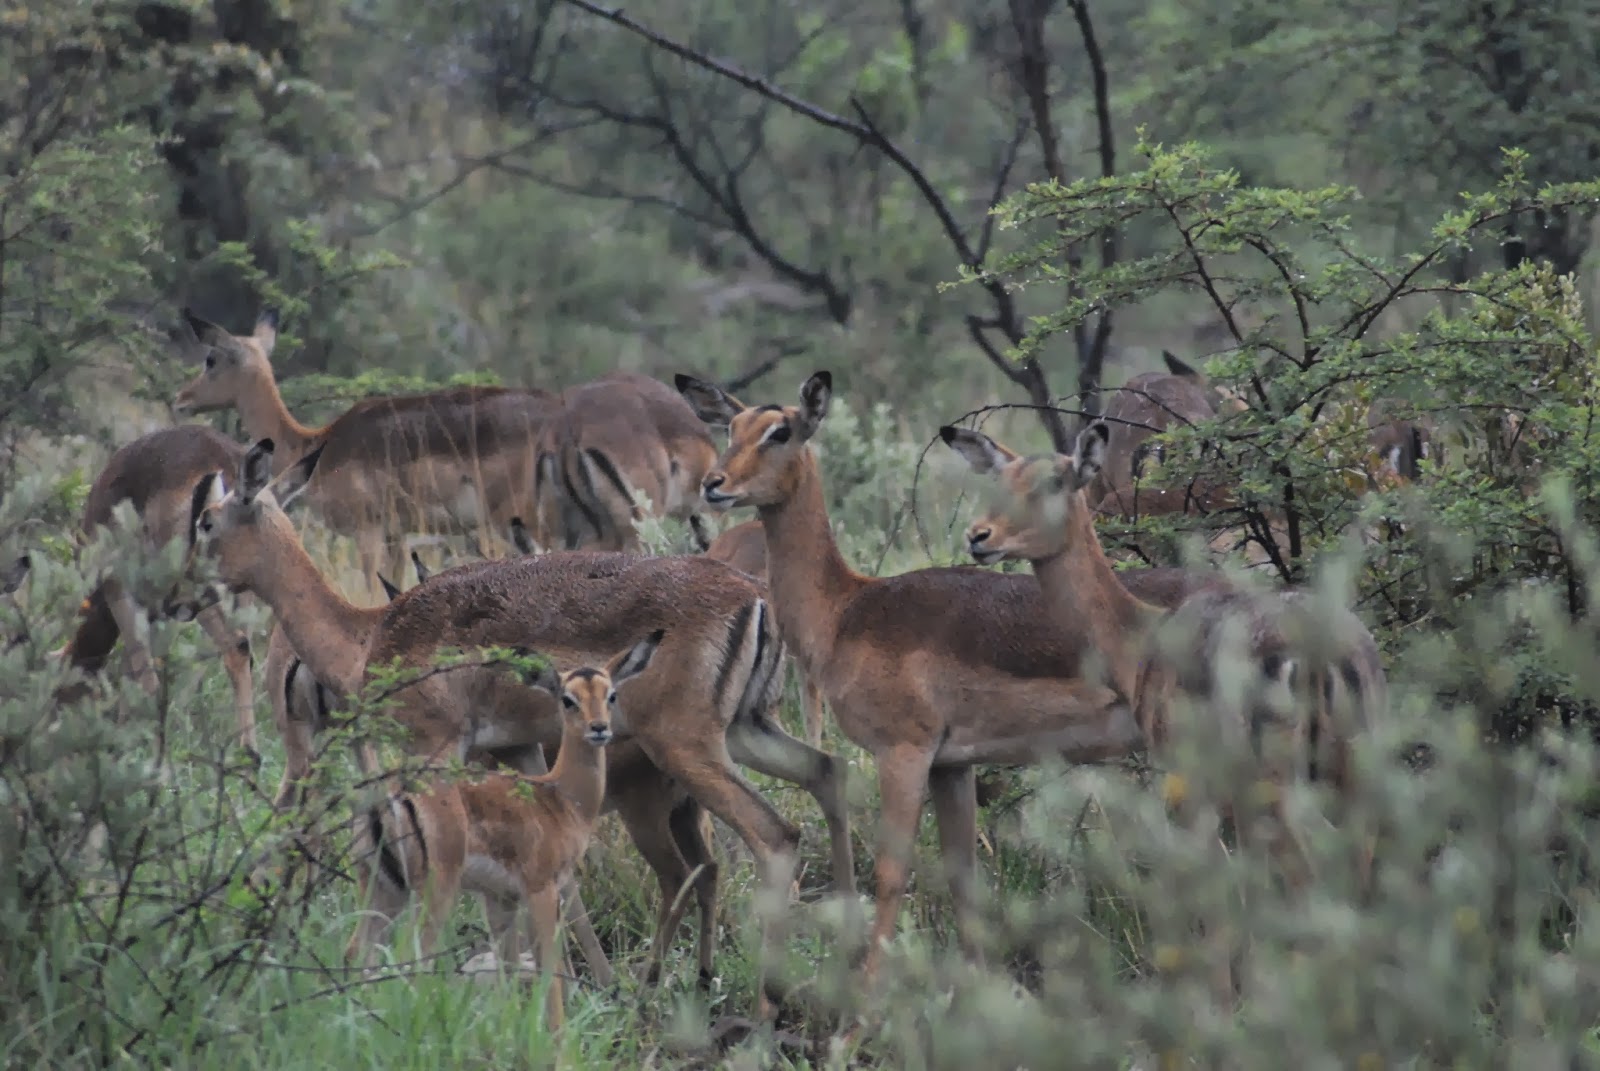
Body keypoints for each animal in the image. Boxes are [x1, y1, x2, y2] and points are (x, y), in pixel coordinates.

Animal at [171, 309, 556, 599]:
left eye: (211, 359)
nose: (180, 399)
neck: (315, 444)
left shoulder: (367, 532)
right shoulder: (397, 537)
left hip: (514, 519)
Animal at [347, 630, 662, 1031]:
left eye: (611, 694)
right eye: (568, 698)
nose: (599, 729)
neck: (559, 799)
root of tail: (391, 799)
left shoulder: (500, 900)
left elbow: (509, 972)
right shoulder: (541, 890)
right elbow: (549, 972)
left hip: (382, 890)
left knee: (356, 953)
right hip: (434, 891)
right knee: (408, 960)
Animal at [675, 370, 1174, 981]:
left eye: (781, 430)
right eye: (733, 426)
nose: (714, 484)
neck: (847, 611)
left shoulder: (903, 752)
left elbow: (891, 875)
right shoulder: (951, 766)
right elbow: (964, 882)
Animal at [939, 420, 1387, 1002]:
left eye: (1055, 481)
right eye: (1000, 479)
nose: (980, 536)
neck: (1143, 637)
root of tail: (1318, 650)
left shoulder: (1194, 789)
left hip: (1283, 791)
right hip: (1351, 782)